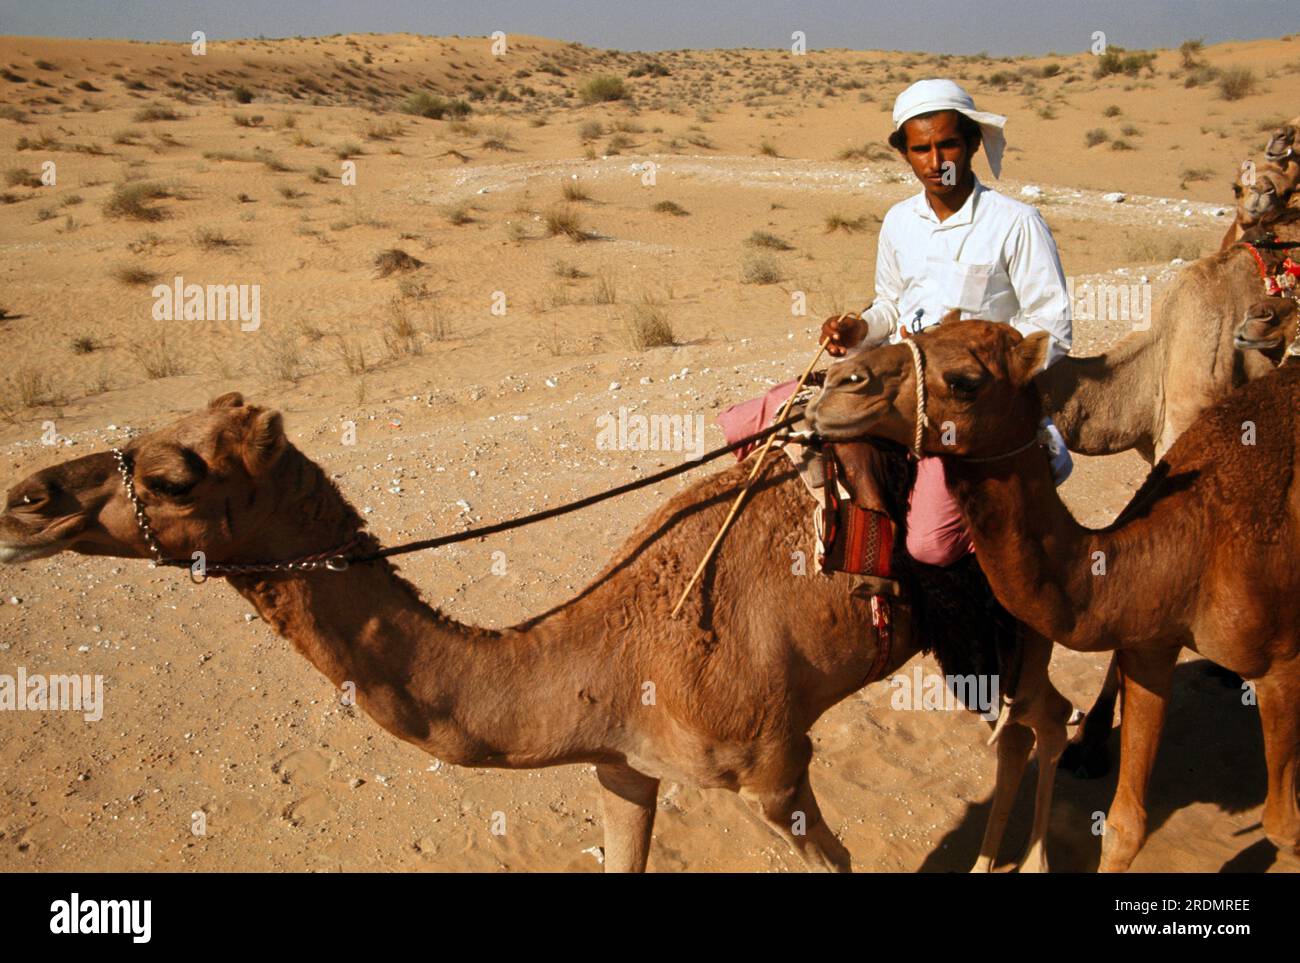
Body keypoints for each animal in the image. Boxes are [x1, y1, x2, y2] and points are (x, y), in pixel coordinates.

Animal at [0, 391, 1071, 873]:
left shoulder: (772, 770)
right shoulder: (622, 762)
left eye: (175, 475)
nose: (26, 499)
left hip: (1011, 605)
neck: (616, 653)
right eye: (145, 435)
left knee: (1034, 715)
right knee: (1036, 720)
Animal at [809, 319, 1300, 871]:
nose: (837, 384)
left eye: (964, 381)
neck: (1194, 542)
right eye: (923, 331)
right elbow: (1125, 826)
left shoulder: (1282, 667)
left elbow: (1284, 829)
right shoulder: (1152, 646)